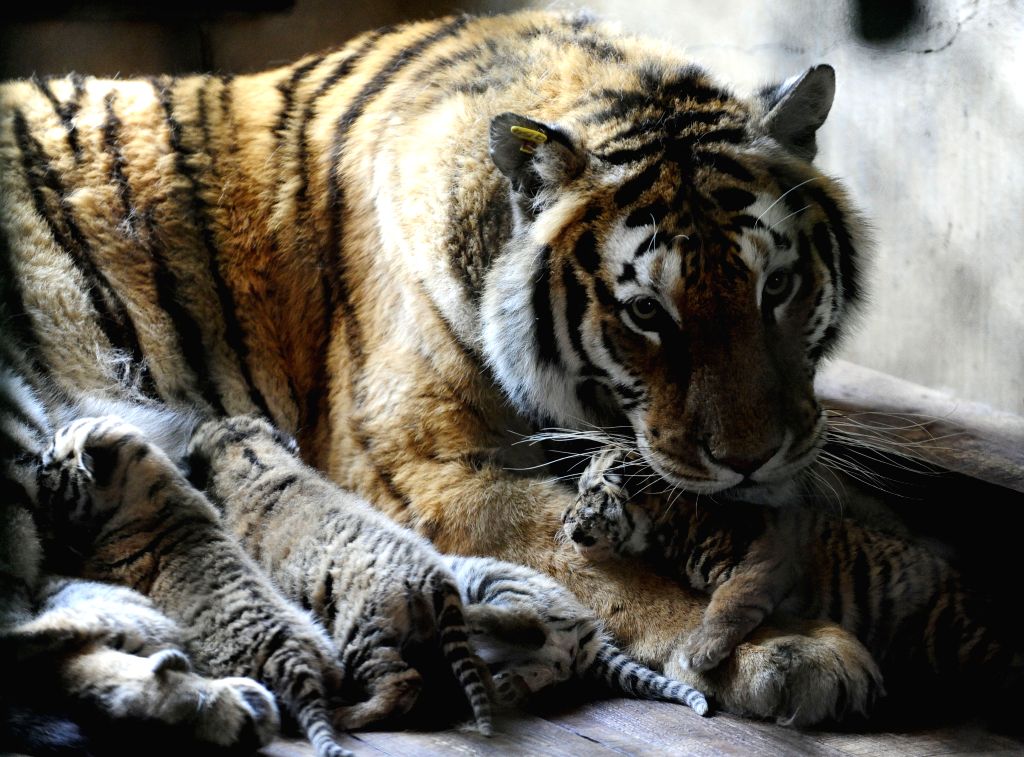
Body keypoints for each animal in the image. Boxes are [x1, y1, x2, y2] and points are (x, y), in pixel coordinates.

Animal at [187, 414, 706, 718]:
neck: (258, 462)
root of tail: (590, 633)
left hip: (493, 588)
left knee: (519, 625)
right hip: (544, 649)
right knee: (541, 663)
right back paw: (503, 682)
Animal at [563, 447, 1018, 709]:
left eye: (589, 490)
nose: (566, 517)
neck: (667, 530)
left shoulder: (768, 556)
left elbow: (730, 601)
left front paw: (700, 652)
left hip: (959, 632)